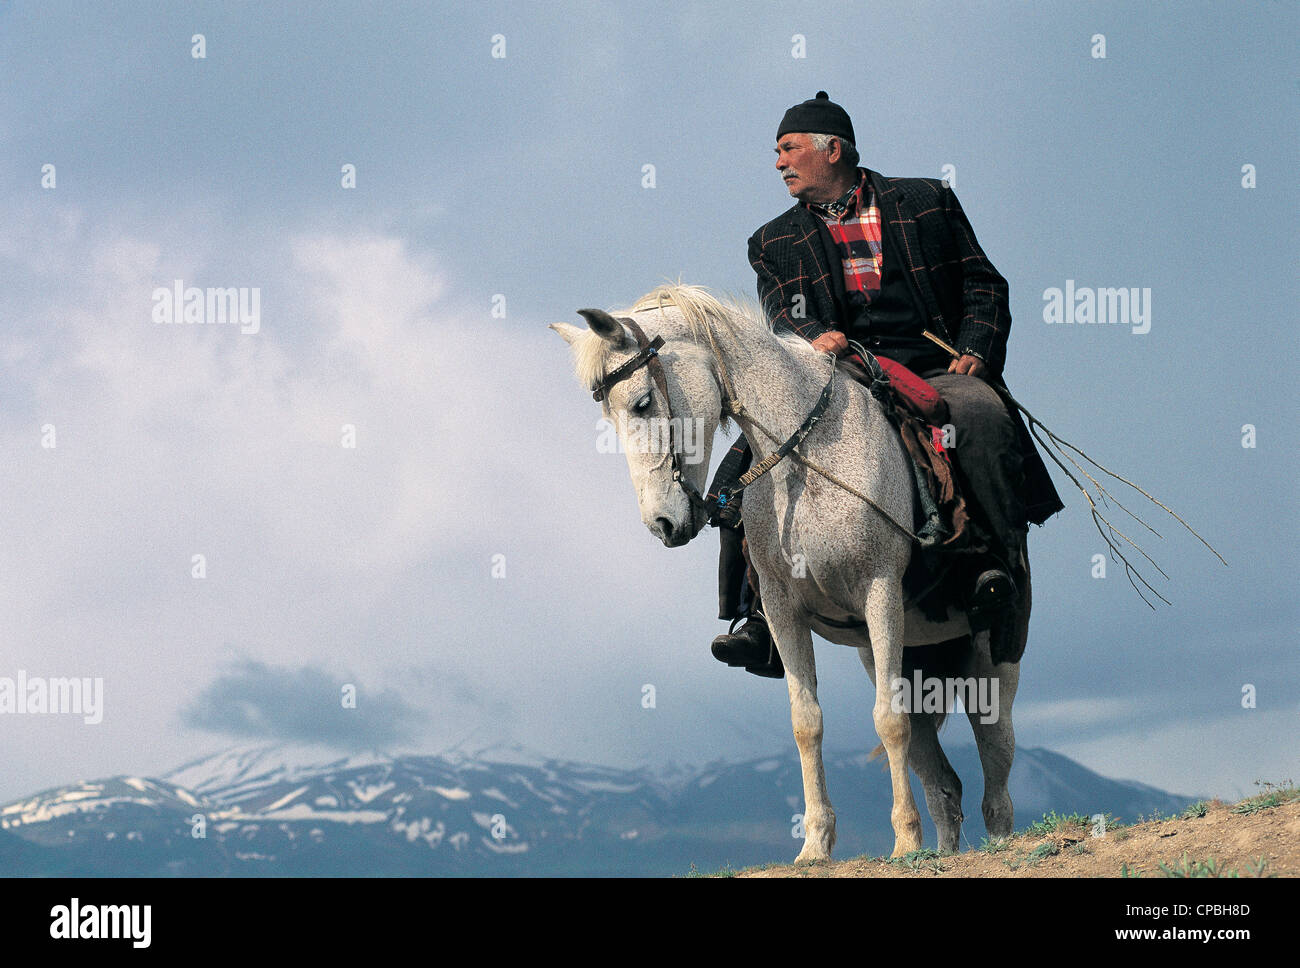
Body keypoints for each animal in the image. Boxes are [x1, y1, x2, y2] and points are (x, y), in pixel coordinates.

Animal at [551, 284, 1028, 862]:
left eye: (642, 402)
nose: (662, 523)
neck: (810, 459)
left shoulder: (880, 592)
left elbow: (887, 720)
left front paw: (902, 842)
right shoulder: (783, 609)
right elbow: (808, 723)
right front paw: (816, 845)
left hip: (993, 648)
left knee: (993, 751)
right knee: (943, 780)